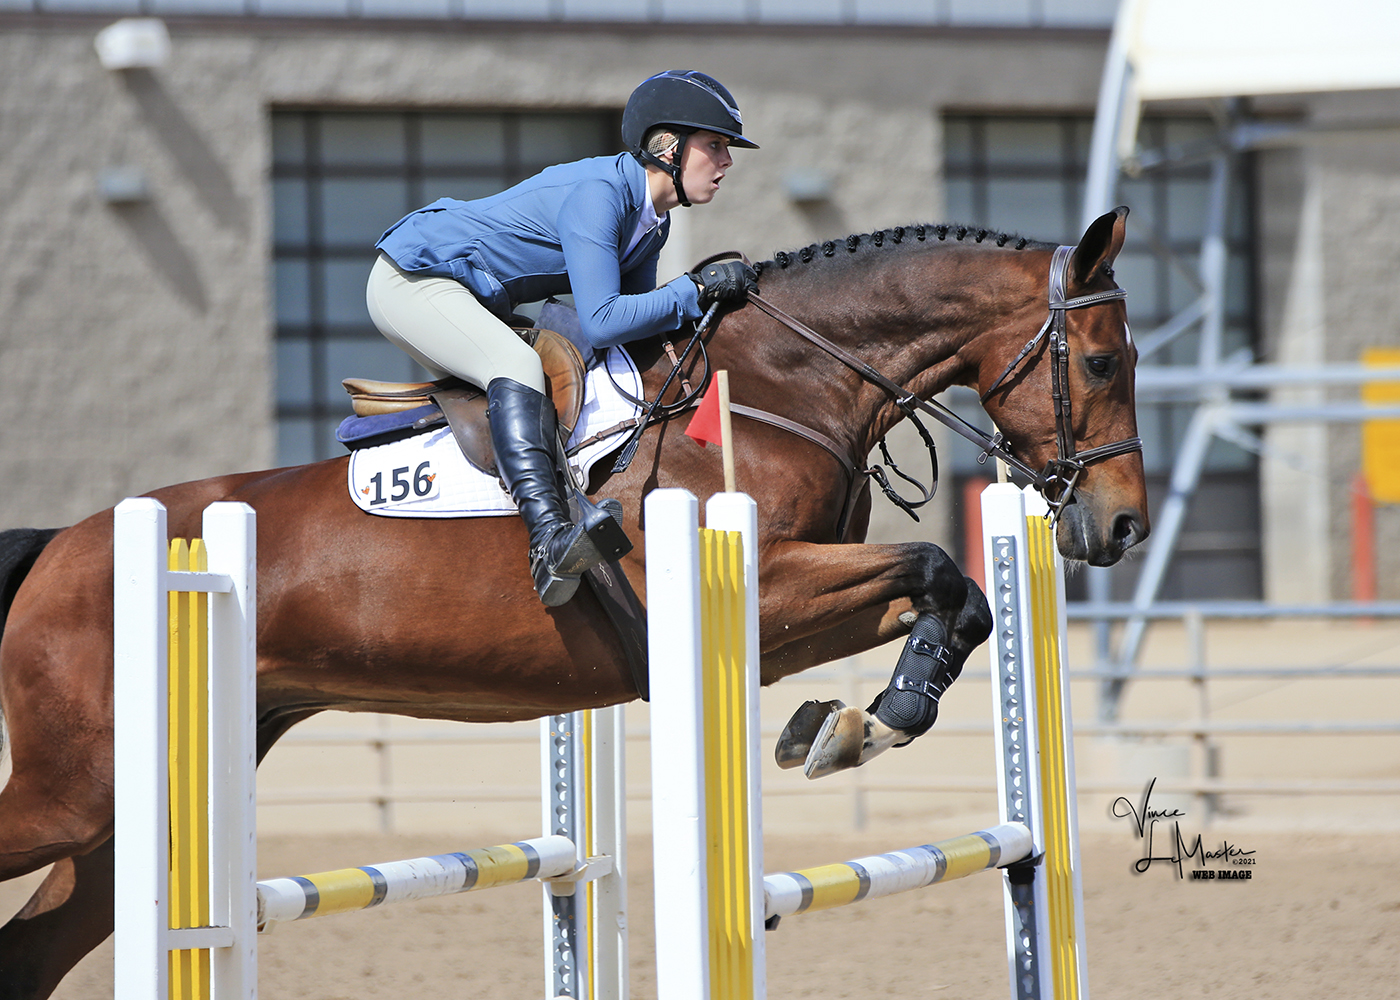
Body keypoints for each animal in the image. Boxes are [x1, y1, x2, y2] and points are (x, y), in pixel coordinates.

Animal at [0, 208, 1147, 999]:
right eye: (1099, 361)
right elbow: (935, 566)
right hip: (78, 787)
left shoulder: (791, 612)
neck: (783, 382)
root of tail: (62, 542)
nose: (1123, 528)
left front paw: (855, 722)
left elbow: (957, 599)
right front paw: (867, 721)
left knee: (30, 950)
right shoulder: (765, 585)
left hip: (138, 807)